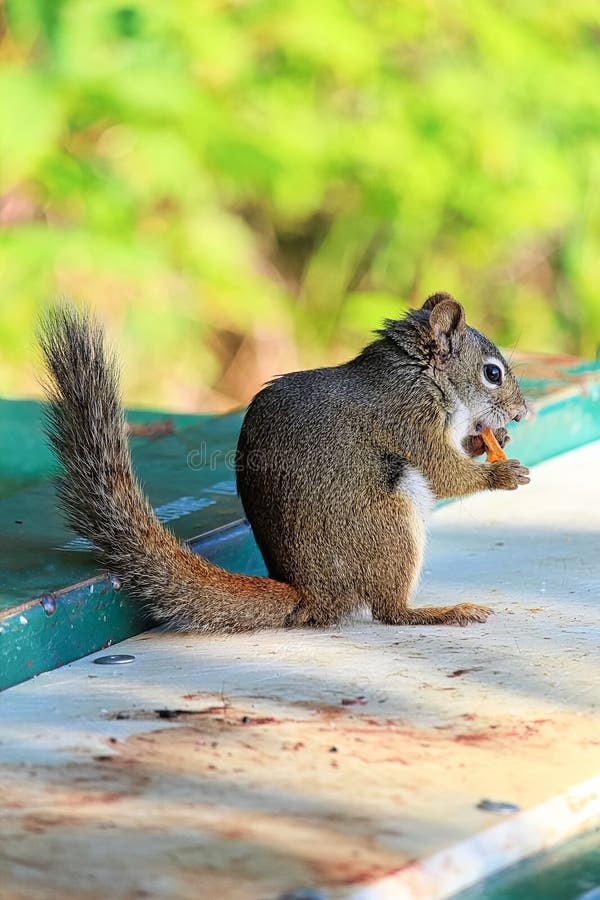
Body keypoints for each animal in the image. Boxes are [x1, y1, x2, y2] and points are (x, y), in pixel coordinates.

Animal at [38, 292, 529, 633]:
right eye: (492, 373)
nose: (523, 414)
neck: (418, 375)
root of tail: (312, 593)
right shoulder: (411, 420)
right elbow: (444, 474)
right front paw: (502, 472)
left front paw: (492, 440)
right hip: (388, 519)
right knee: (390, 611)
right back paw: (441, 612)